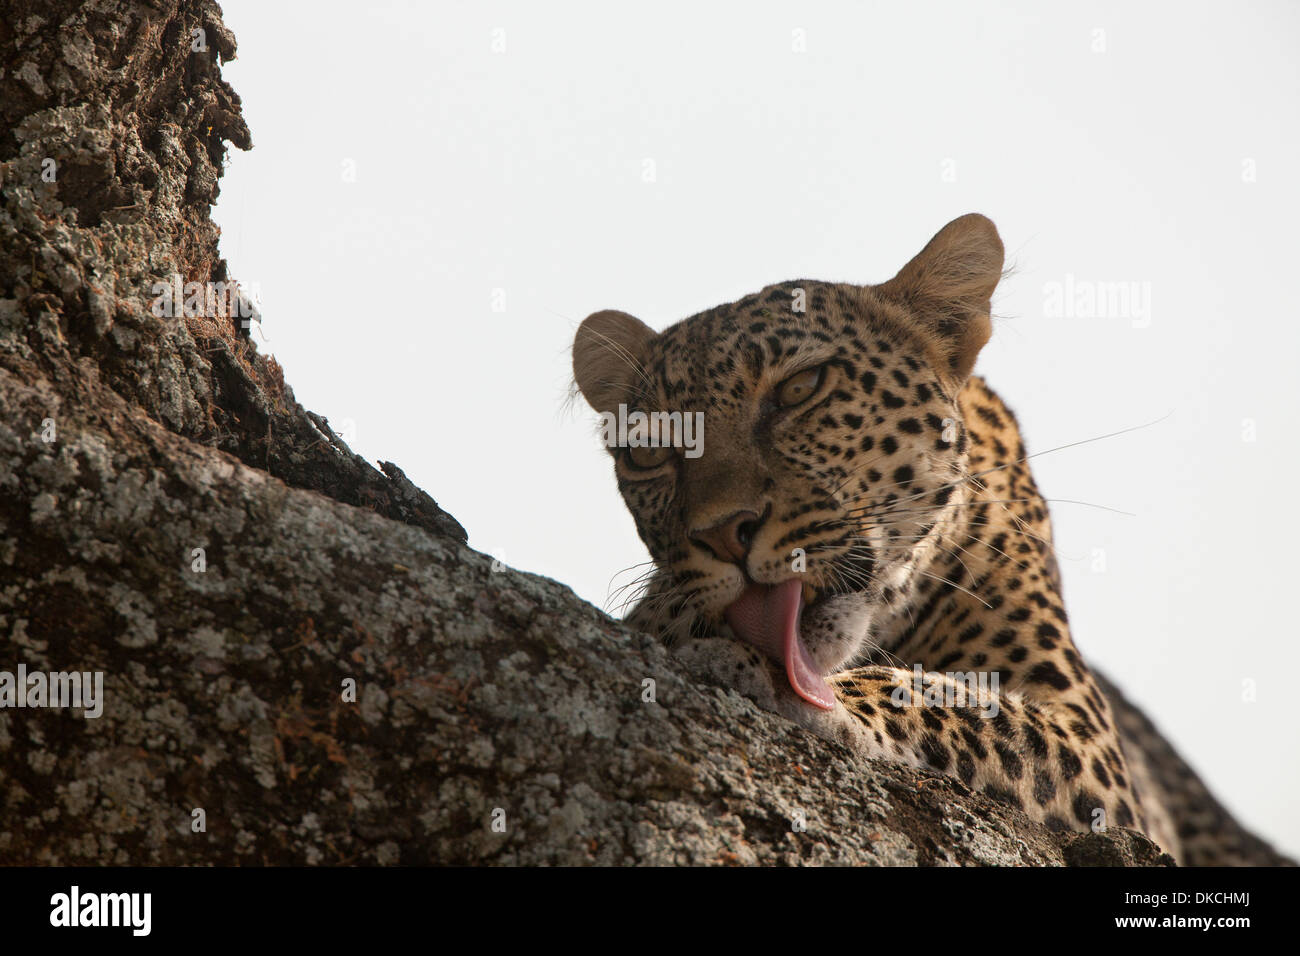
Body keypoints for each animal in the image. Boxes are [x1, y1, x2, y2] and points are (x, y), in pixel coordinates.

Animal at [571, 213, 1291, 866]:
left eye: (800, 388)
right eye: (646, 450)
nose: (722, 532)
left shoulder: (1089, 742)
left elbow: (947, 699)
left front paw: (771, 675)